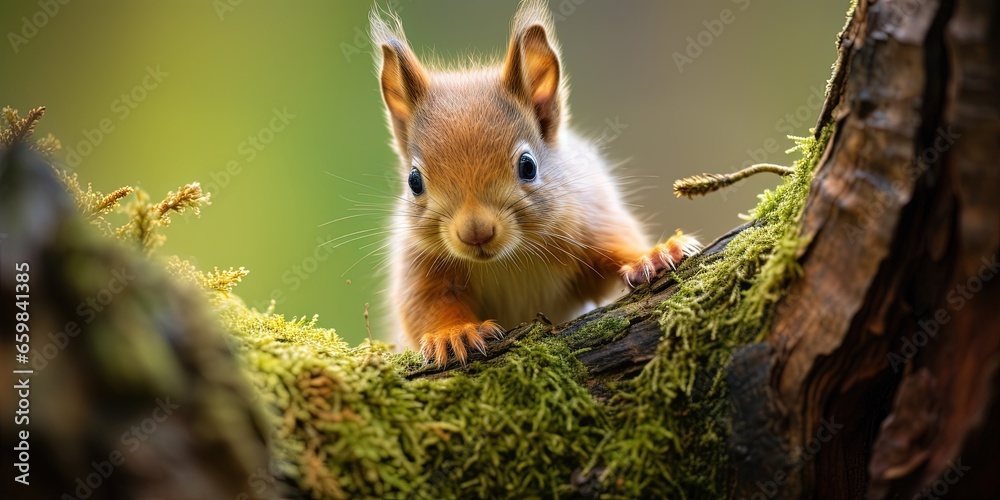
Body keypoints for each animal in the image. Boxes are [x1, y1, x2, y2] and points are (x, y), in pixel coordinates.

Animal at [370, 0, 701, 365]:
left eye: (527, 166)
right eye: (414, 181)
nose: (475, 233)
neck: (508, 259)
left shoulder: (590, 218)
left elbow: (612, 250)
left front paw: (652, 256)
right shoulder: (418, 262)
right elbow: (425, 305)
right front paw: (453, 334)